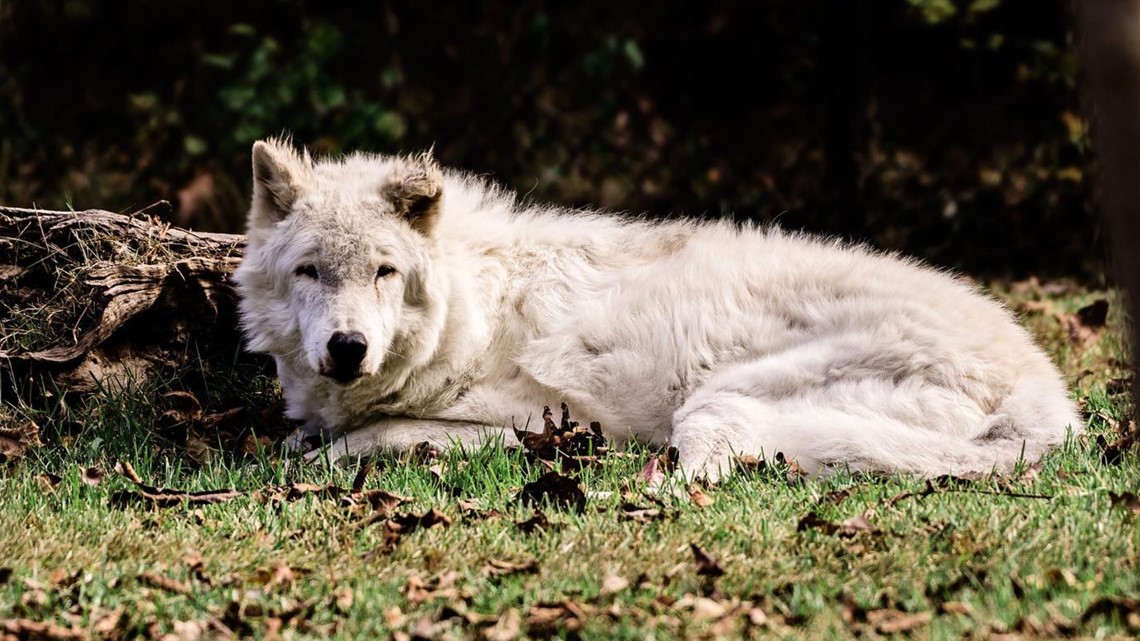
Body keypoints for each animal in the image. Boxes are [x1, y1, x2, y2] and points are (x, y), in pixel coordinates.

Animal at [234, 138, 1080, 482]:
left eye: (385, 272)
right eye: (310, 271)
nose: (347, 347)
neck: (474, 305)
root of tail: (1049, 391)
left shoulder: (533, 417)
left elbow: (365, 439)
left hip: (716, 400)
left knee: (699, 478)